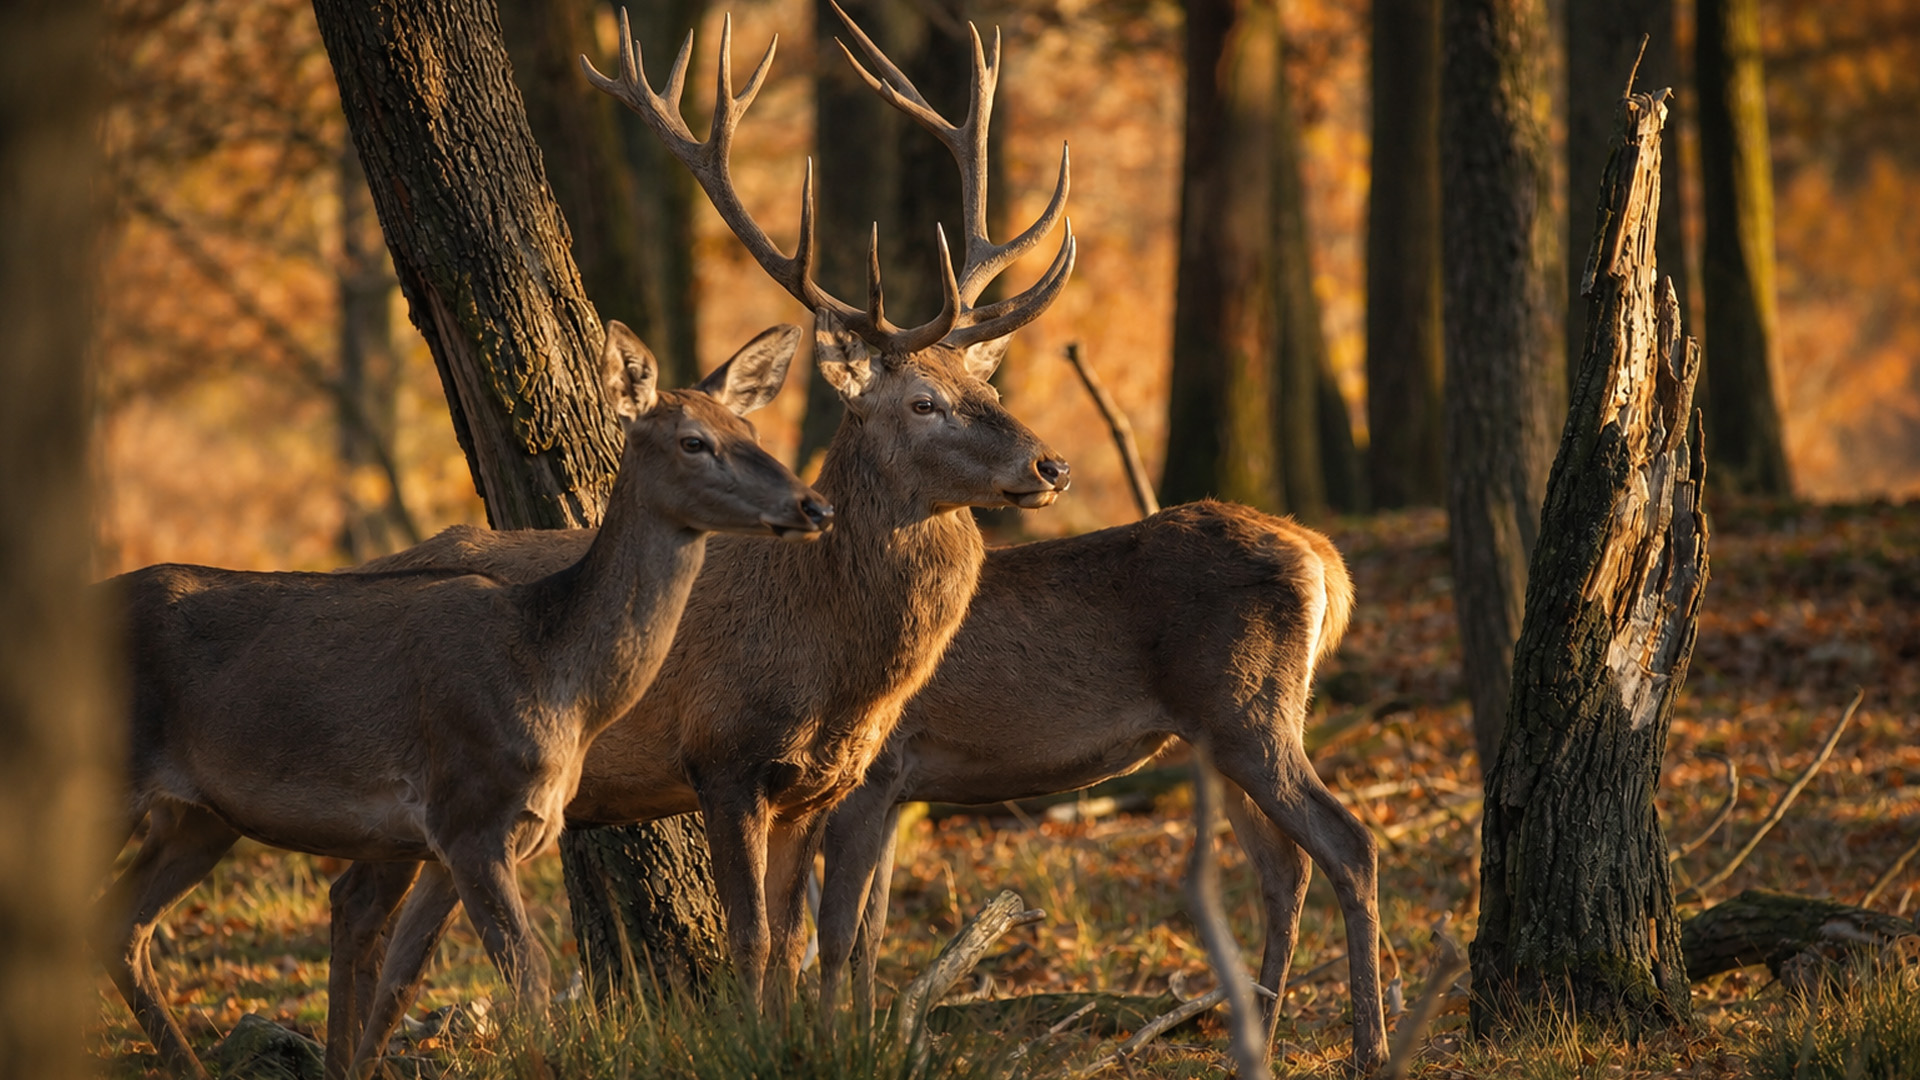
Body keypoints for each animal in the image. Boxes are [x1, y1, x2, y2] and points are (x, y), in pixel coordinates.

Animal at [97, 321, 830, 1080]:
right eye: (693, 440)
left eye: (748, 428)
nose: (813, 505)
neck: (555, 677)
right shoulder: (470, 809)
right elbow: (529, 974)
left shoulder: (459, 833)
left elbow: (404, 976)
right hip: (107, 773)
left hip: (199, 817)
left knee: (120, 927)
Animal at [317, 5, 1075, 1070]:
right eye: (923, 402)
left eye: (986, 385)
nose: (1050, 466)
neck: (832, 666)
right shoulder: (723, 755)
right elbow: (751, 937)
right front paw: (752, 1046)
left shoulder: (817, 784)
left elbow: (804, 939)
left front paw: (807, 1043)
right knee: (355, 901)